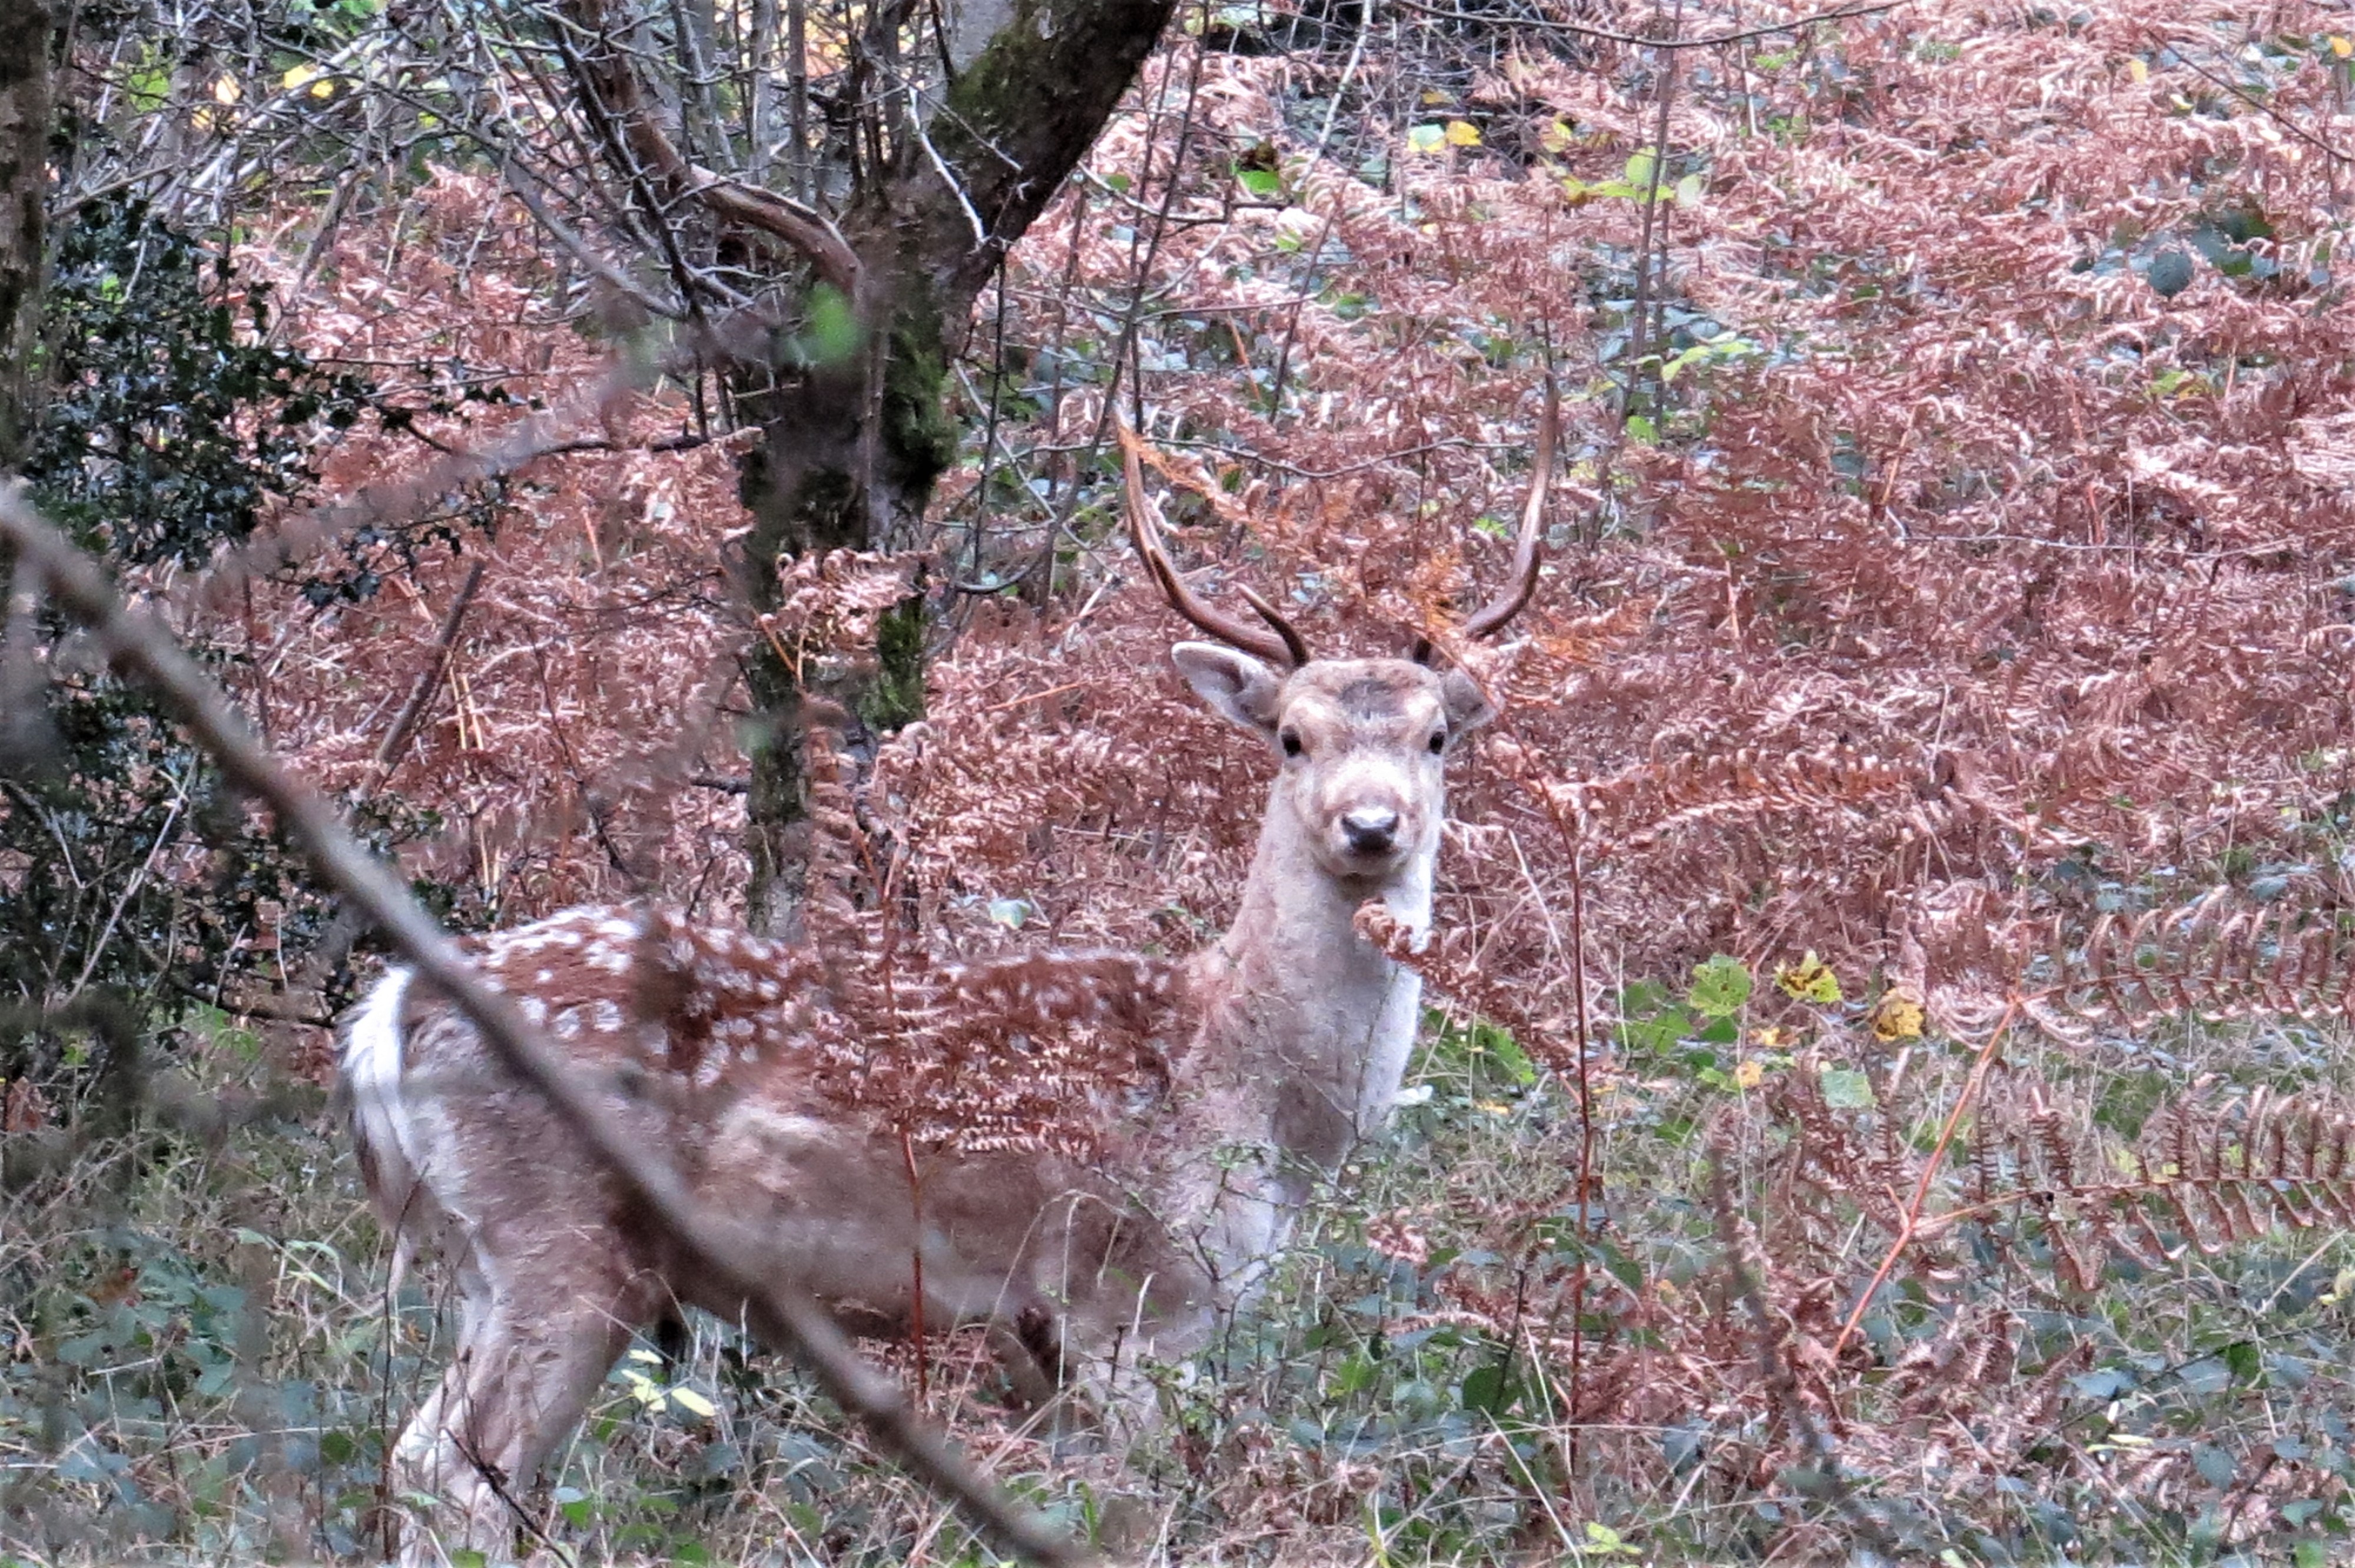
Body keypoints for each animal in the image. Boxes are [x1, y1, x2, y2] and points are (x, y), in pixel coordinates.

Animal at [337, 400, 1554, 1562]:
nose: (1371, 824)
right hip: (560, 1239)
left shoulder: (1043, 1339)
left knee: (418, 1455)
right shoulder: (1130, 1294)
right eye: (1293, 737)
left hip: (485, 1253)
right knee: (456, 1467)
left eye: (1437, 736)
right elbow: (1134, 1524)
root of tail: (396, 1008)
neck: (1251, 1082)